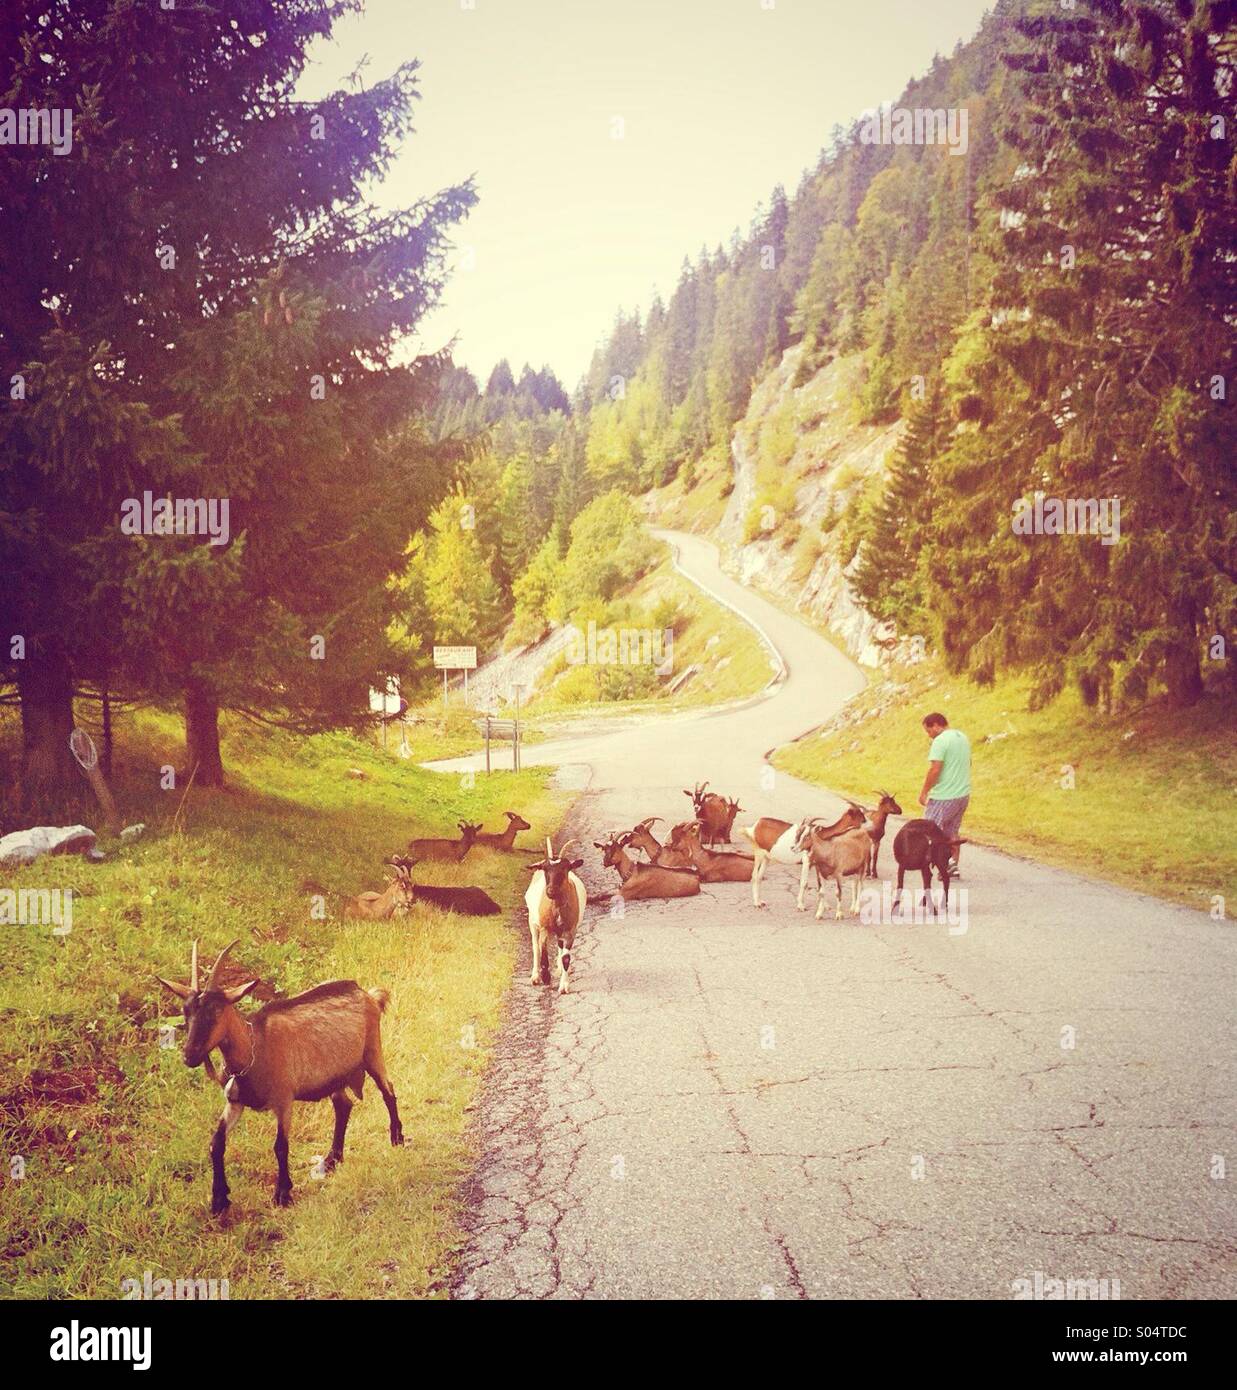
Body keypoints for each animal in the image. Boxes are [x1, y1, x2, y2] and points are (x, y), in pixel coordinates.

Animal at [156, 940, 402, 1214]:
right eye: (185, 1011)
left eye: (216, 1011)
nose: (189, 1056)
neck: (255, 1048)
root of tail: (369, 994)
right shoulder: (235, 1102)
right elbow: (216, 1142)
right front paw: (219, 1199)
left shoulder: (284, 1100)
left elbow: (280, 1147)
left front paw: (282, 1194)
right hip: (334, 1075)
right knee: (343, 1105)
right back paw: (331, 1160)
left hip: (372, 1052)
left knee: (388, 1090)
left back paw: (396, 1138)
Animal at [524, 837, 587, 993]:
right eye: (545, 869)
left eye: (566, 868)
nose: (550, 891)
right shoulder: (544, 927)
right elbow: (543, 953)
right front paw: (545, 977)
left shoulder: (570, 930)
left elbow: (566, 958)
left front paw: (564, 986)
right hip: (532, 921)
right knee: (535, 946)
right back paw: (535, 976)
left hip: (560, 930)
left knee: (559, 946)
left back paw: (559, 970)